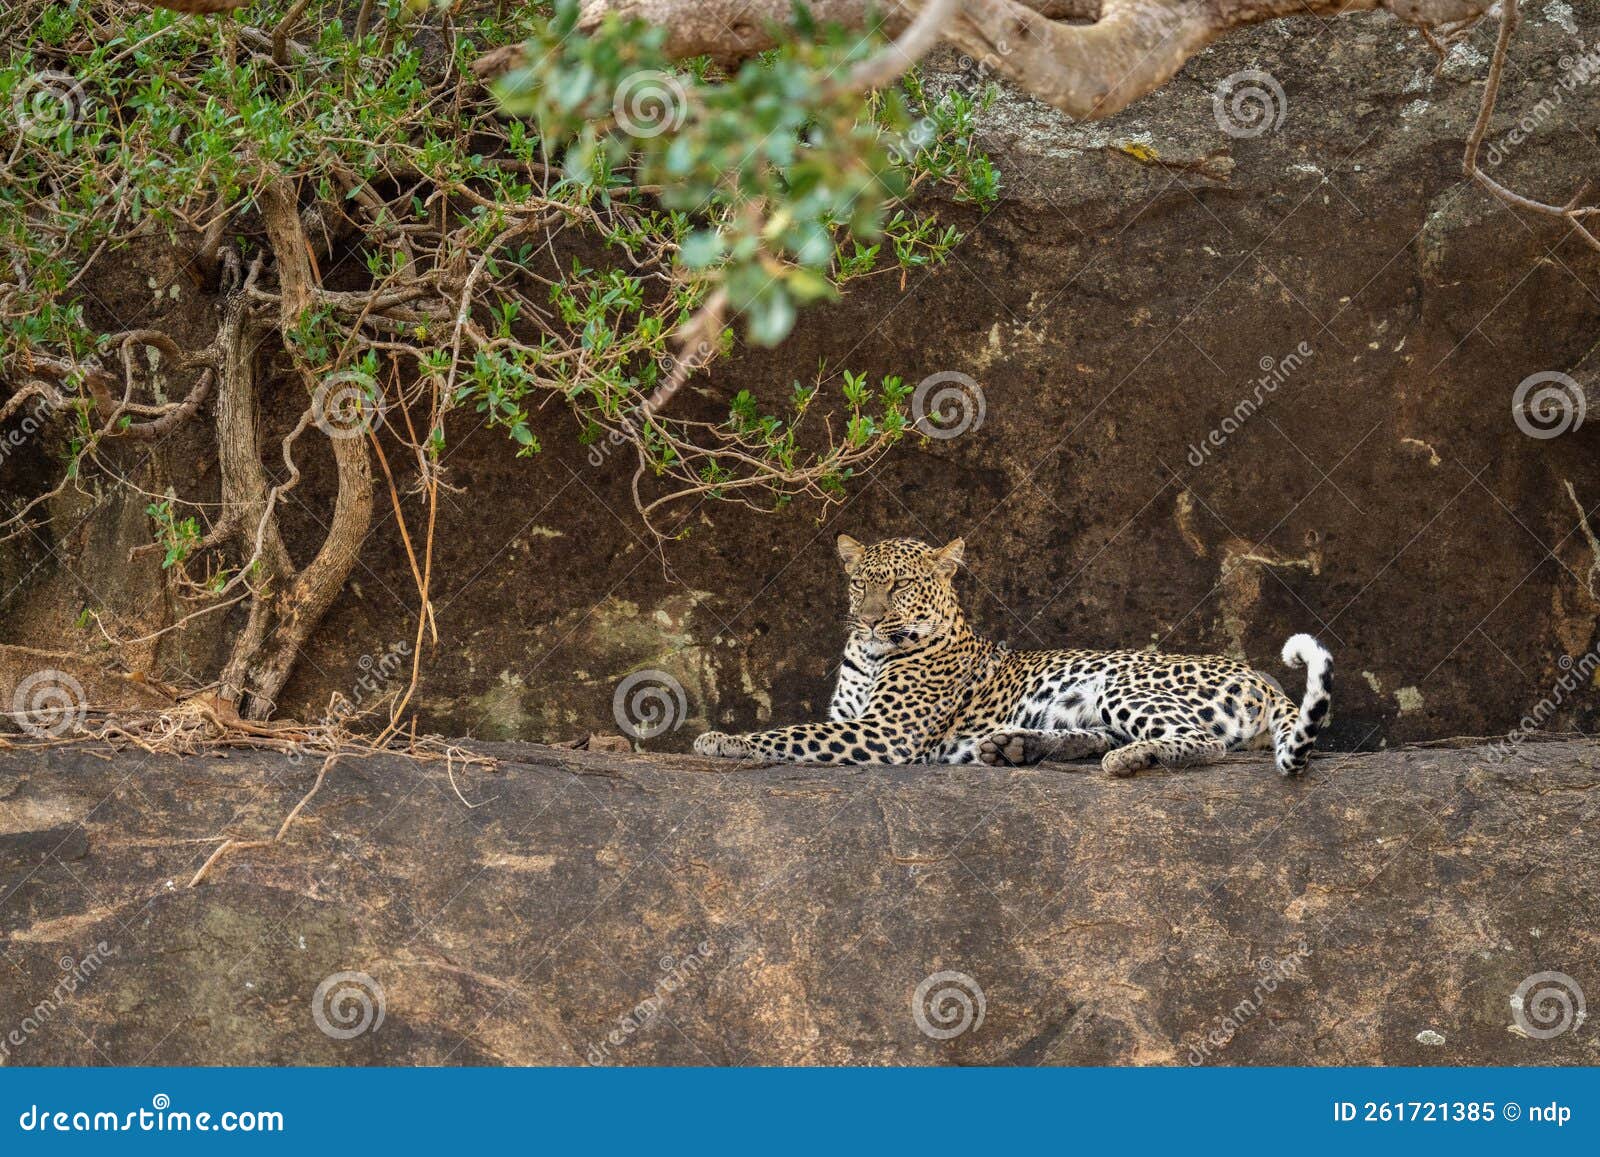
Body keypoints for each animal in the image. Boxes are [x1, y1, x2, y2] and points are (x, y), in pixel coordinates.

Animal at [693, 535, 1333, 775]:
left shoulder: (884, 734)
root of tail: (1262, 678)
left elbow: (788, 732)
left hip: (1124, 682)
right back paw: (1014, 746)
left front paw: (720, 739)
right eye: (861, 584)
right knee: (1096, 734)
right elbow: (803, 727)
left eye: (900, 585)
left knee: (1200, 744)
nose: (868, 619)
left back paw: (1131, 759)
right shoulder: (851, 719)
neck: (870, 655)